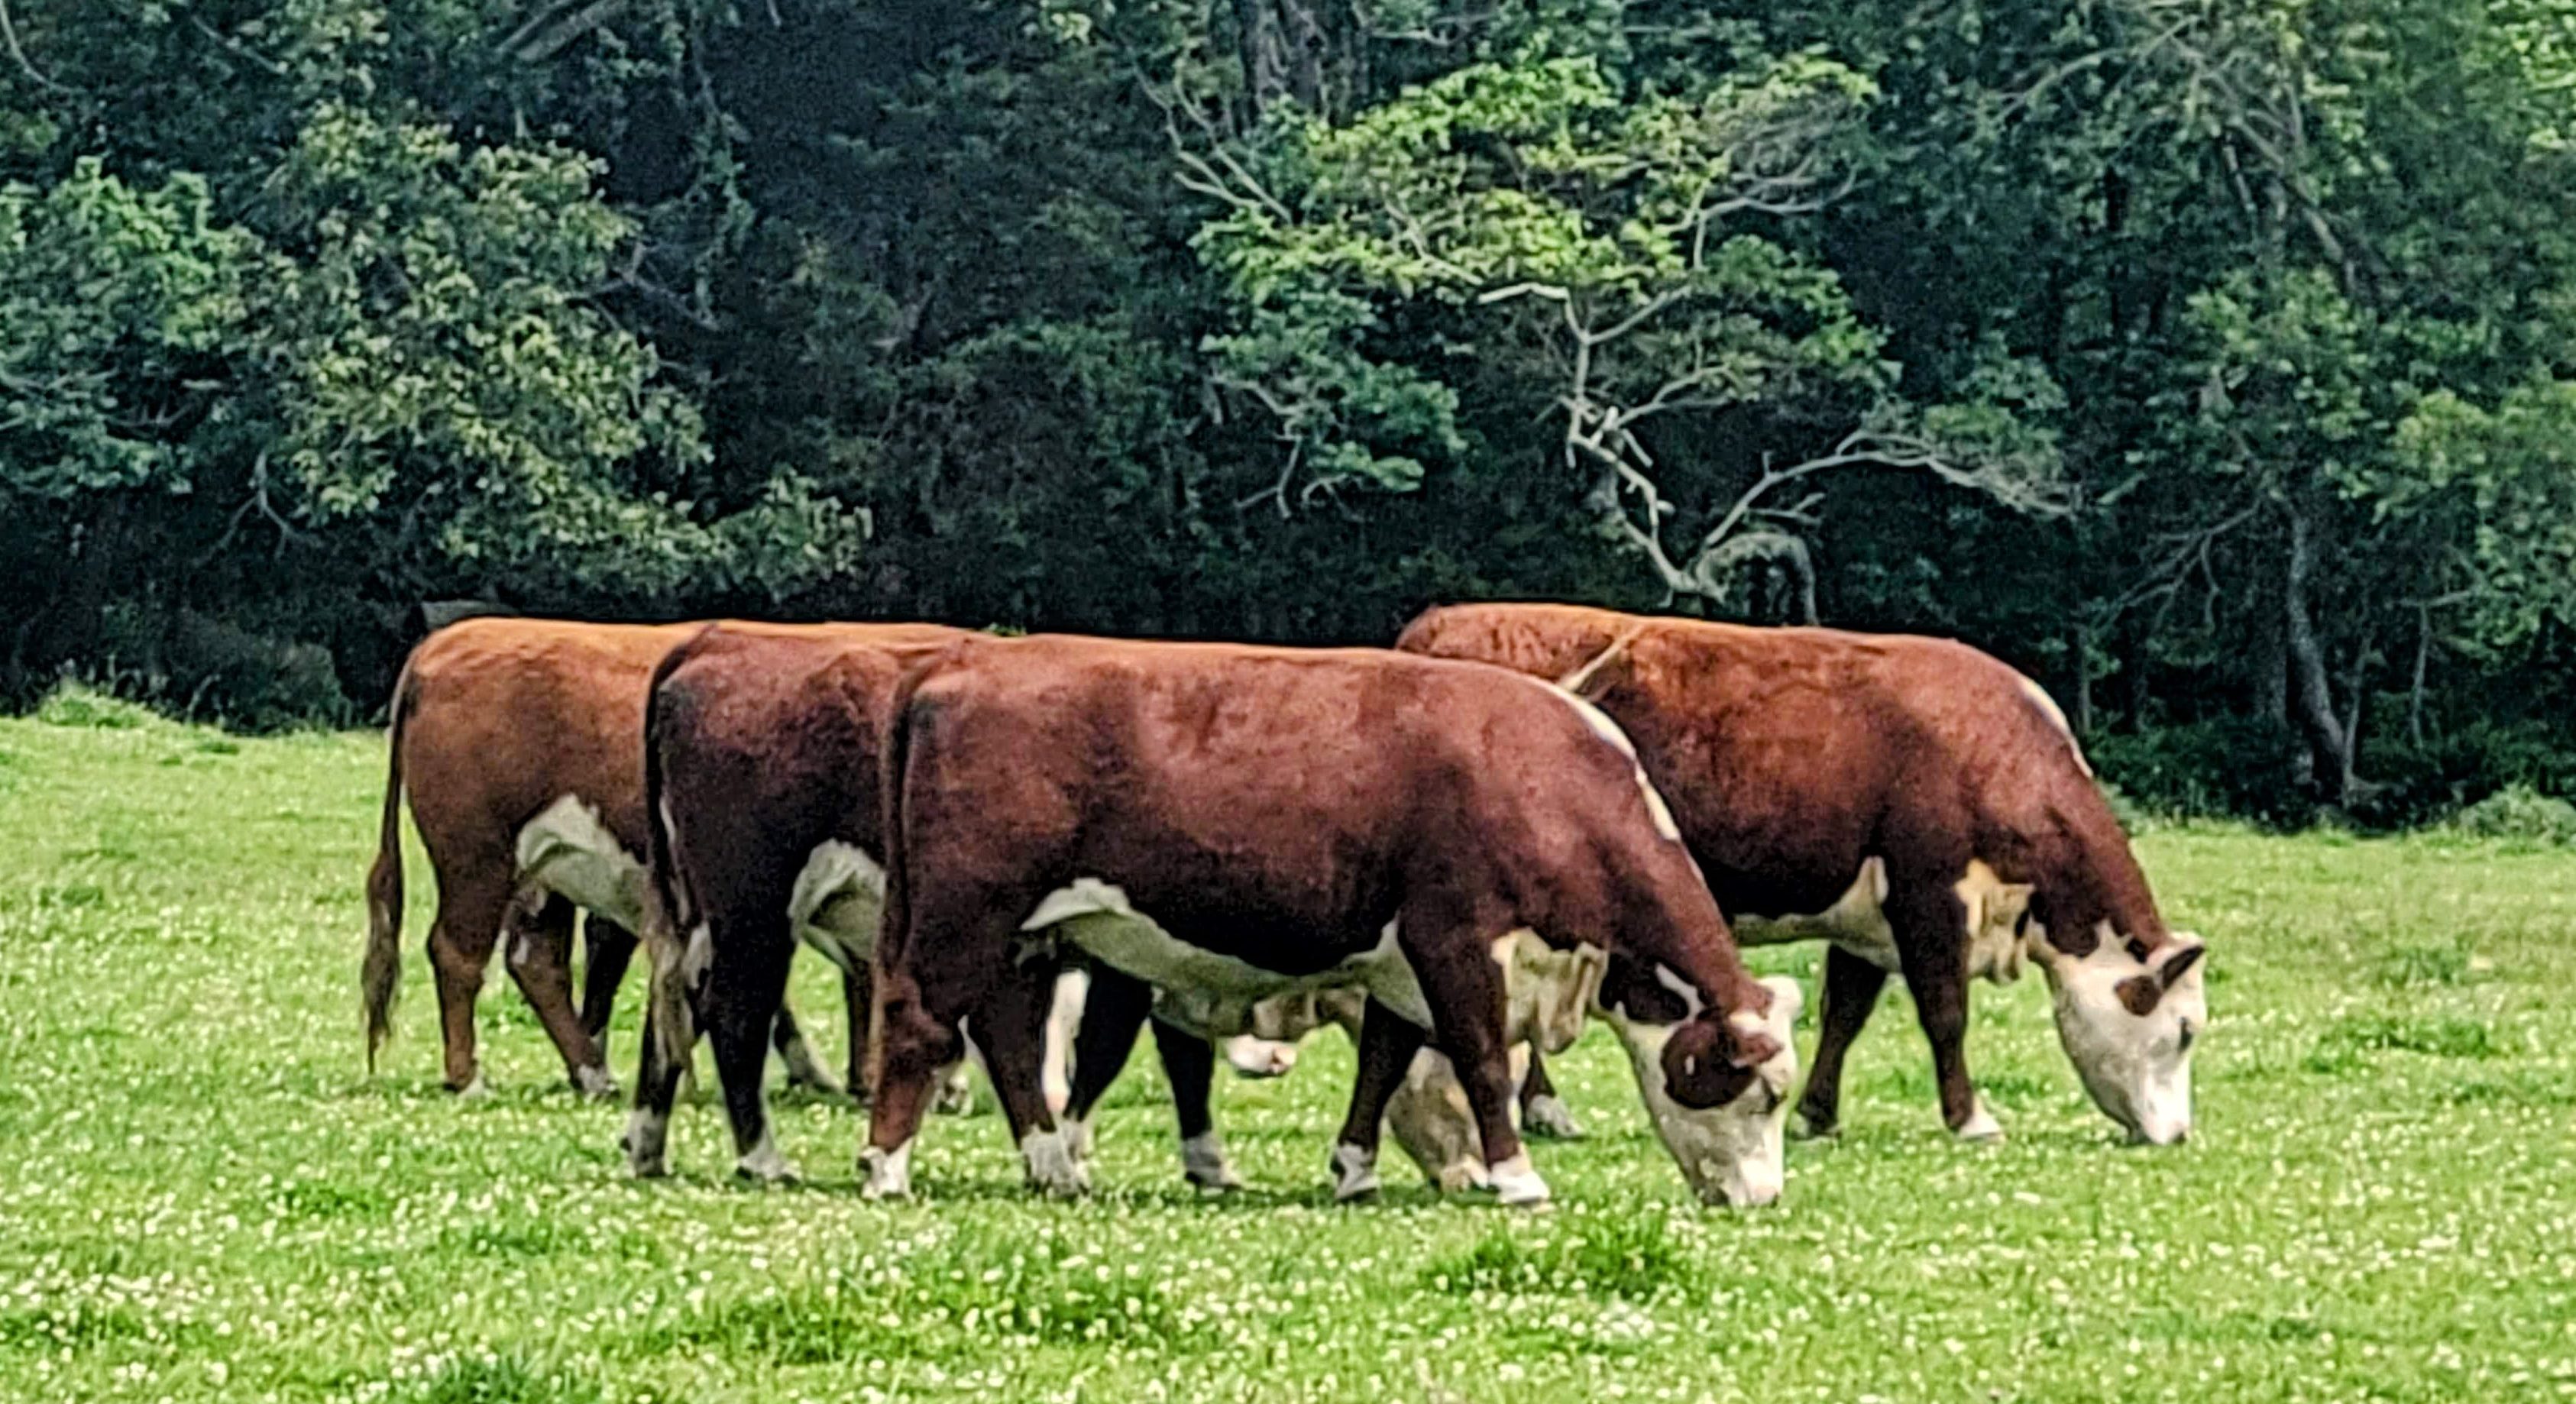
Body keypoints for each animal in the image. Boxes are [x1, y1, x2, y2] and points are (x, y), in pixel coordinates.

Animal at [360, 617, 845, 1099]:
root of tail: (442, 642)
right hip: (477, 856)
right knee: (457, 953)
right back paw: (471, 1080)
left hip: (542, 867)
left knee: (535, 960)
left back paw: (593, 1072)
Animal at [627, 623, 1298, 1183]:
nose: (1279, 1057)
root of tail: (719, 640)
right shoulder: (1127, 950)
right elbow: (1129, 1046)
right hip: (755, 911)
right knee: (736, 1011)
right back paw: (765, 1159)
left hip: (702, 918)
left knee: (674, 1008)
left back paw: (646, 1142)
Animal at [860, 635, 1803, 1209]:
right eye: (1761, 1092)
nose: (1762, 1197)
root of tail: (963, 660)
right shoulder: (1455, 939)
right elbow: (1484, 1059)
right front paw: (1516, 1177)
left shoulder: (1399, 958)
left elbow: (1382, 1063)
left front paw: (1355, 1170)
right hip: (965, 913)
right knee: (919, 1019)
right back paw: (887, 1166)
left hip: (1021, 932)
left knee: (1006, 1035)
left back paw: (1052, 1164)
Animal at [1393, 602, 2208, 1149]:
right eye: (2185, 1031)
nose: (2175, 1135)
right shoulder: (1930, 898)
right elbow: (1945, 1013)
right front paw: (1971, 1118)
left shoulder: (1867, 917)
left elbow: (1845, 1012)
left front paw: (1819, 1112)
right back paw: (1545, 1108)